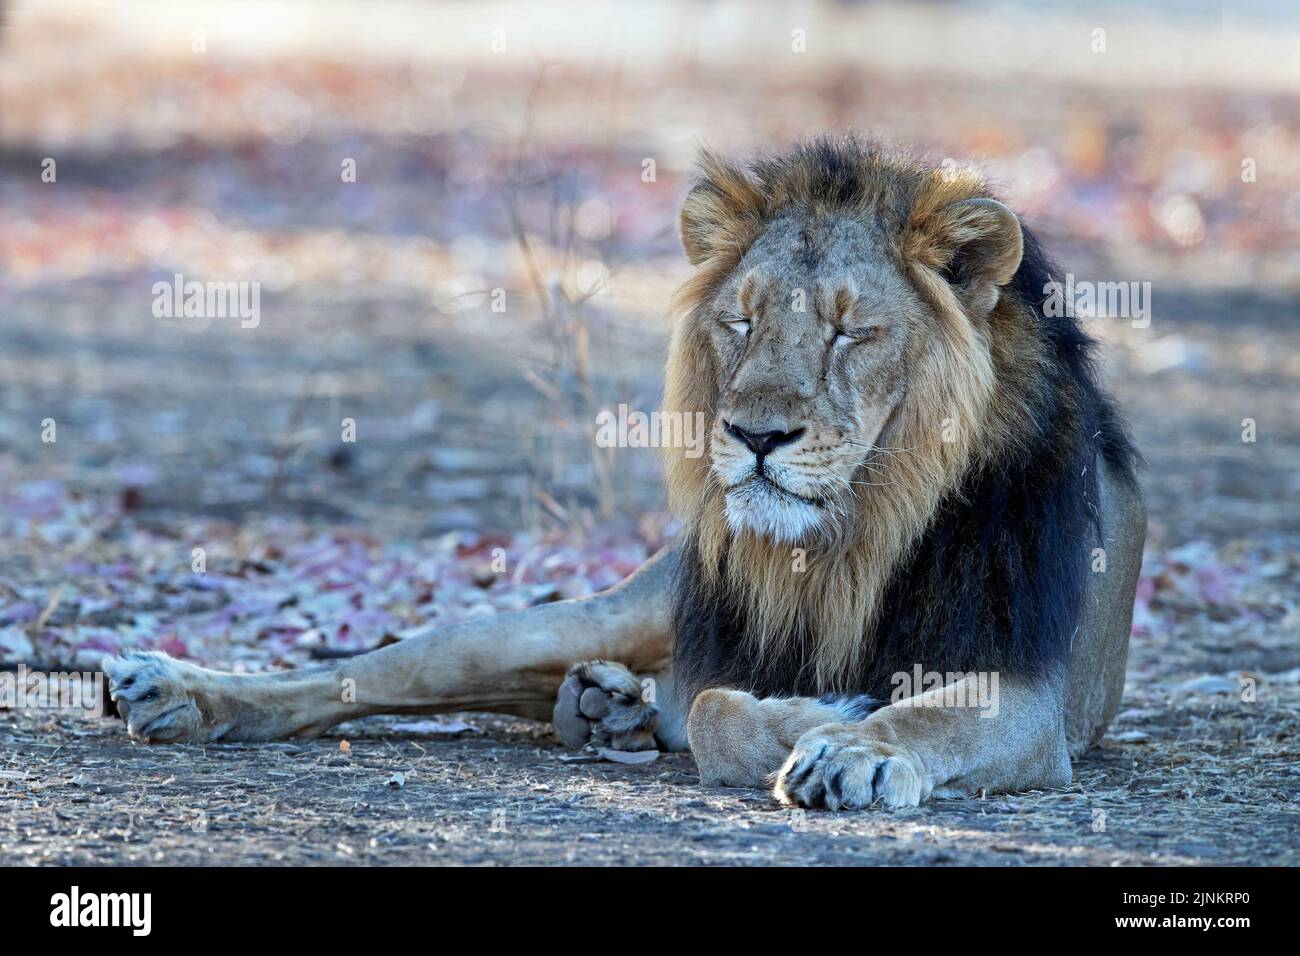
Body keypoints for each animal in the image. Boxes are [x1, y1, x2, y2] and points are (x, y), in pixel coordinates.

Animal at [105, 137, 1145, 809]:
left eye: (852, 330)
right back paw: (176, 692)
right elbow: (720, 707)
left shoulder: (1023, 692)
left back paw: (607, 710)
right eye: (742, 320)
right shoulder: (720, 655)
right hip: (617, 606)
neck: (848, 532)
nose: (755, 434)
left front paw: (848, 744)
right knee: (400, 665)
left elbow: (920, 720)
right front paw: (811, 716)